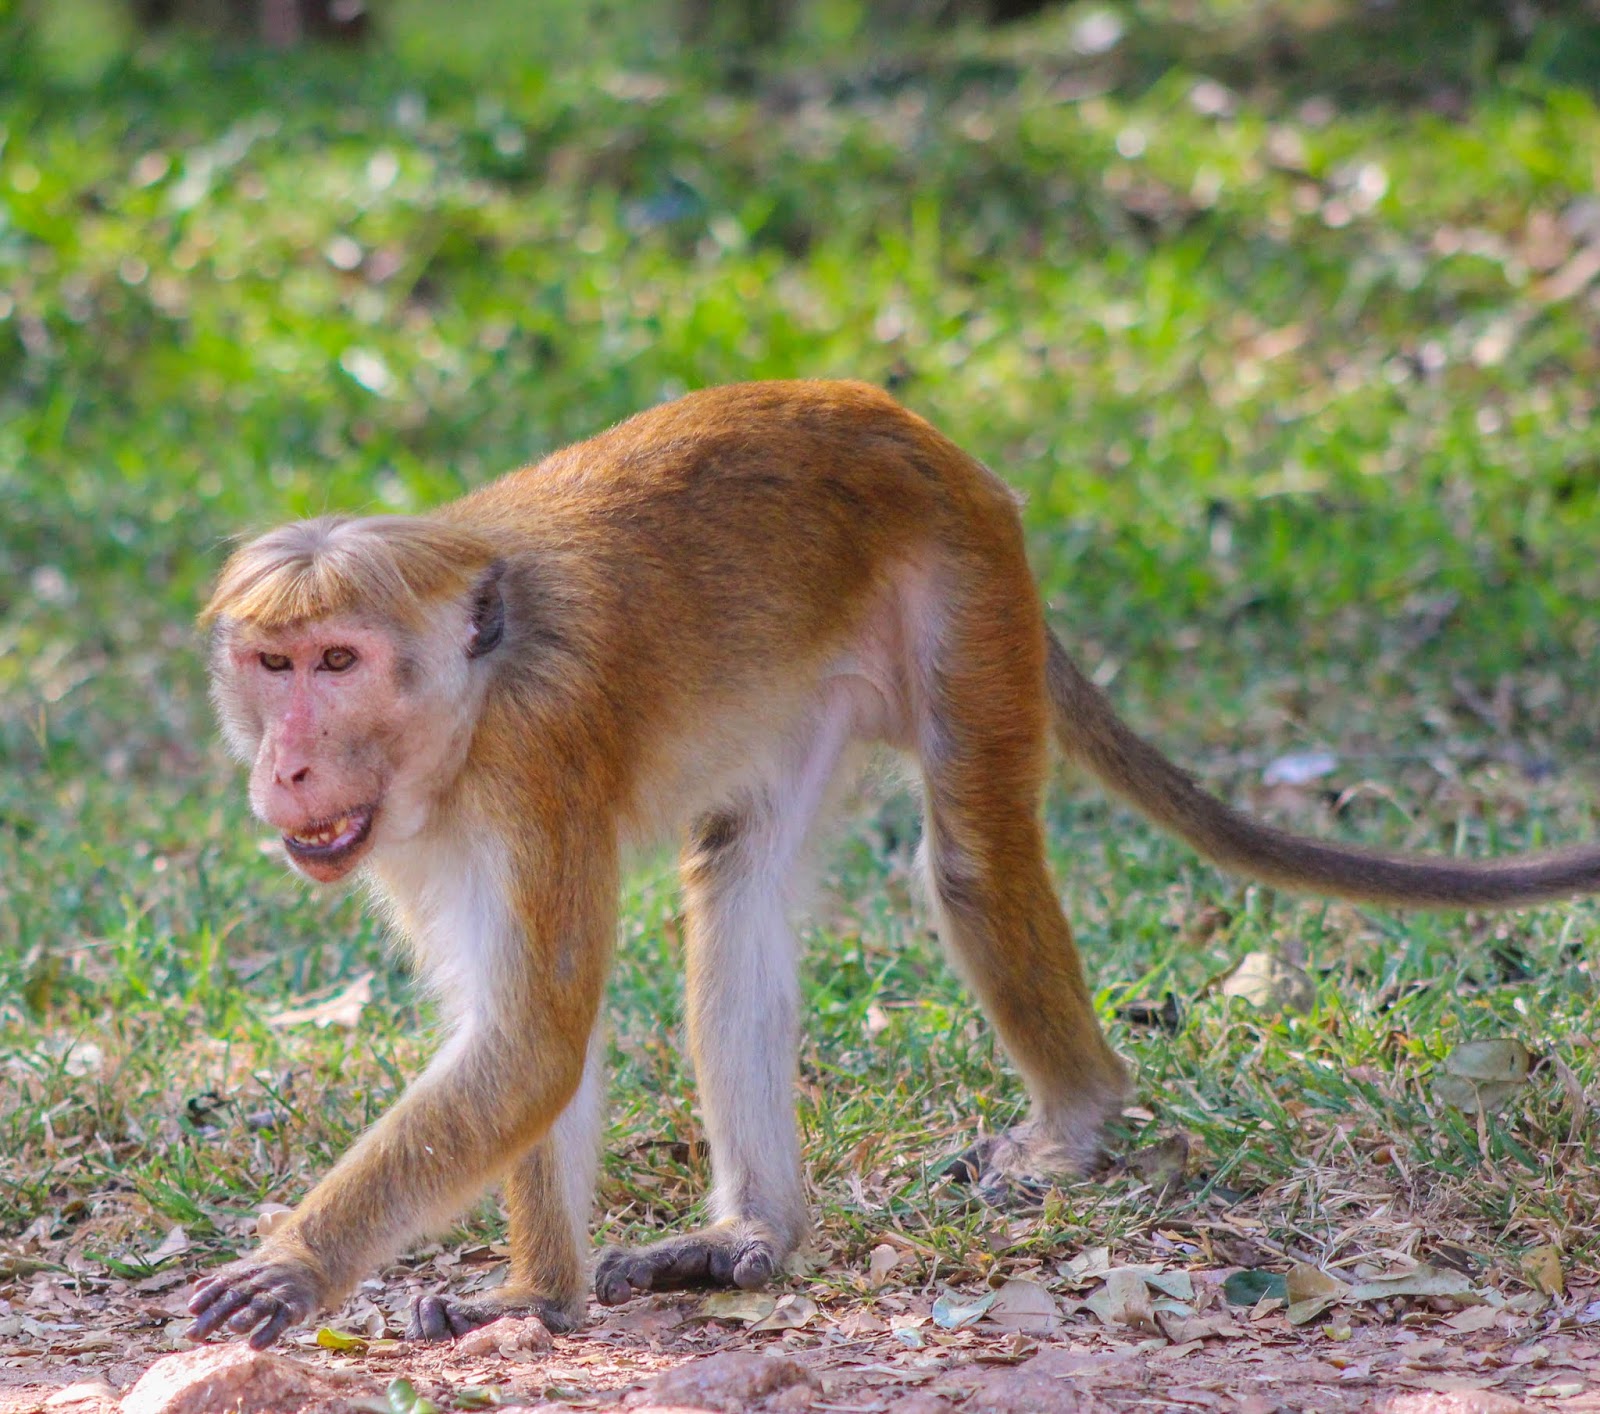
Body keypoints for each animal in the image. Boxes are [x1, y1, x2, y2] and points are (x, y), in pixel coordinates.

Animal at [188, 378, 1600, 1350]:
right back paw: (754, 1234)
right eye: (272, 665)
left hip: (966, 584)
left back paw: (1077, 1121)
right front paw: (536, 1297)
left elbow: (532, 1040)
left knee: (967, 854)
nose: (289, 767)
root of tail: (913, 428)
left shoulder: (541, 761)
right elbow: (528, 1041)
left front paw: (304, 1262)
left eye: (337, 663)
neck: (475, 700)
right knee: (740, 881)